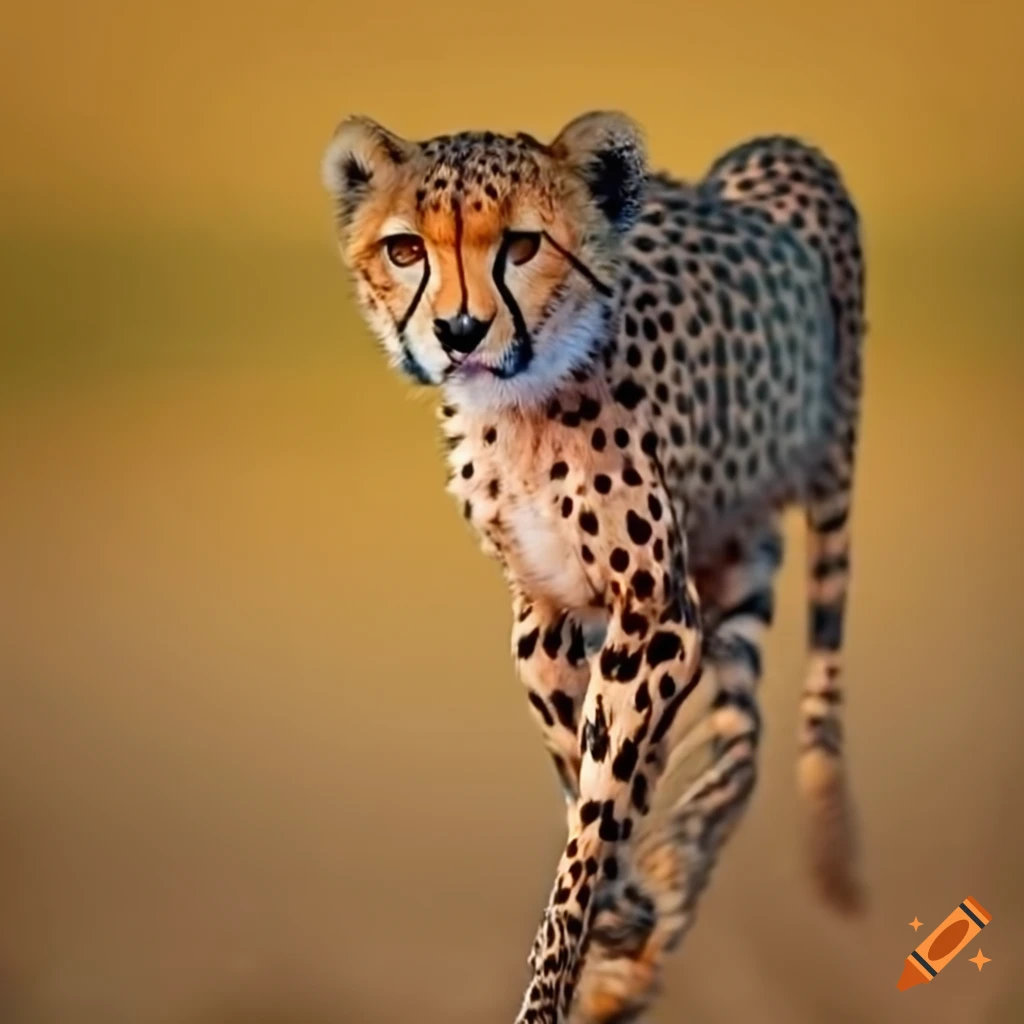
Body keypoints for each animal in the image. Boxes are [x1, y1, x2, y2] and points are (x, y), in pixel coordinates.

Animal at [321, 109, 867, 1024]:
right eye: (405, 250)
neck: (522, 408)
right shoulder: (542, 613)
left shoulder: (656, 617)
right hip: (730, 567)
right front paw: (622, 916)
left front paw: (573, 963)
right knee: (740, 730)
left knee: (789, 707)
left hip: (821, 489)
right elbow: (579, 773)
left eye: (521, 244)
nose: (459, 333)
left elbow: (595, 811)